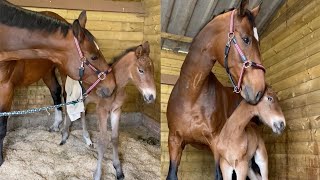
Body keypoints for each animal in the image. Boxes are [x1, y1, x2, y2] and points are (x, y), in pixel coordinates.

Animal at [0, 1, 115, 166]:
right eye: (94, 57)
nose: (112, 85)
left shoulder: (6, 88)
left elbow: (2, 127)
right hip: (48, 72)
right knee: (56, 92)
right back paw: (58, 125)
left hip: (65, 73)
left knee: (70, 100)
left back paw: (76, 136)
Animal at [59, 41, 156, 179]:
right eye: (141, 70)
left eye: (153, 70)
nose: (151, 97)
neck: (116, 87)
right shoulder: (102, 111)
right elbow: (103, 141)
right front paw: (98, 174)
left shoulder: (116, 110)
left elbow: (115, 138)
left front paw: (118, 169)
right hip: (71, 95)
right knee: (68, 111)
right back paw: (64, 135)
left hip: (84, 99)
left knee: (82, 114)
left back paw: (87, 139)